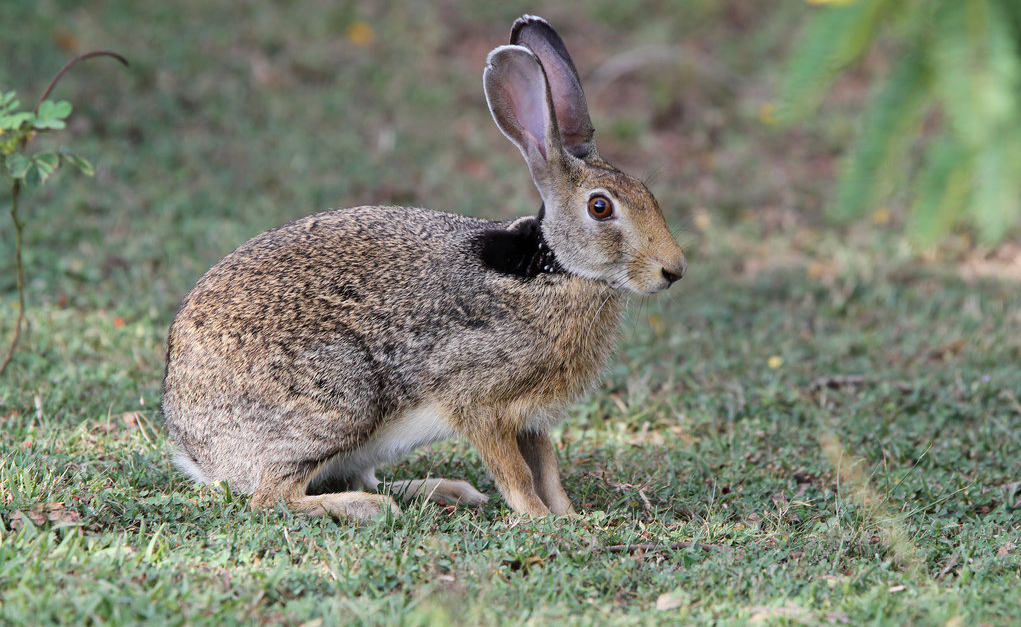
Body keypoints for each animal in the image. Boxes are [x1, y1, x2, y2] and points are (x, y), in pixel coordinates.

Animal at [161, 15, 687, 520]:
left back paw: (447, 492)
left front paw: (569, 516)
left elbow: (547, 468)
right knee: (273, 496)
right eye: (600, 208)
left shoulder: (529, 418)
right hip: (338, 401)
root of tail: (195, 448)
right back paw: (371, 508)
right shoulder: (478, 401)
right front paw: (540, 519)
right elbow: (517, 473)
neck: (554, 269)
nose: (674, 271)